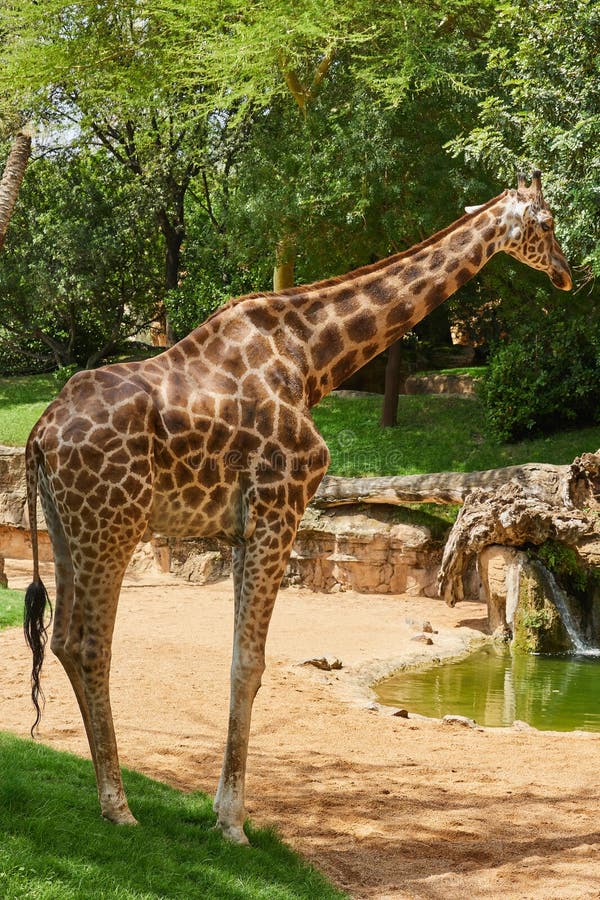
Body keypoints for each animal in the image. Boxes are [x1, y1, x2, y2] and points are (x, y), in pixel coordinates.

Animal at [24, 171, 571, 843]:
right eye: (546, 222)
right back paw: (119, 806)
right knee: (89, 644)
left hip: (66, 526)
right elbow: (250, 664)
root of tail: (40, 433)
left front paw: (223, 812)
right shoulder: (279, 507)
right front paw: (232, 823)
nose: (568, 273)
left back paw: (109, 797)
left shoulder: (242, 528)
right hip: (113, 523)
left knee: (62, 640)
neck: (312, 360)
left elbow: (241, 658)